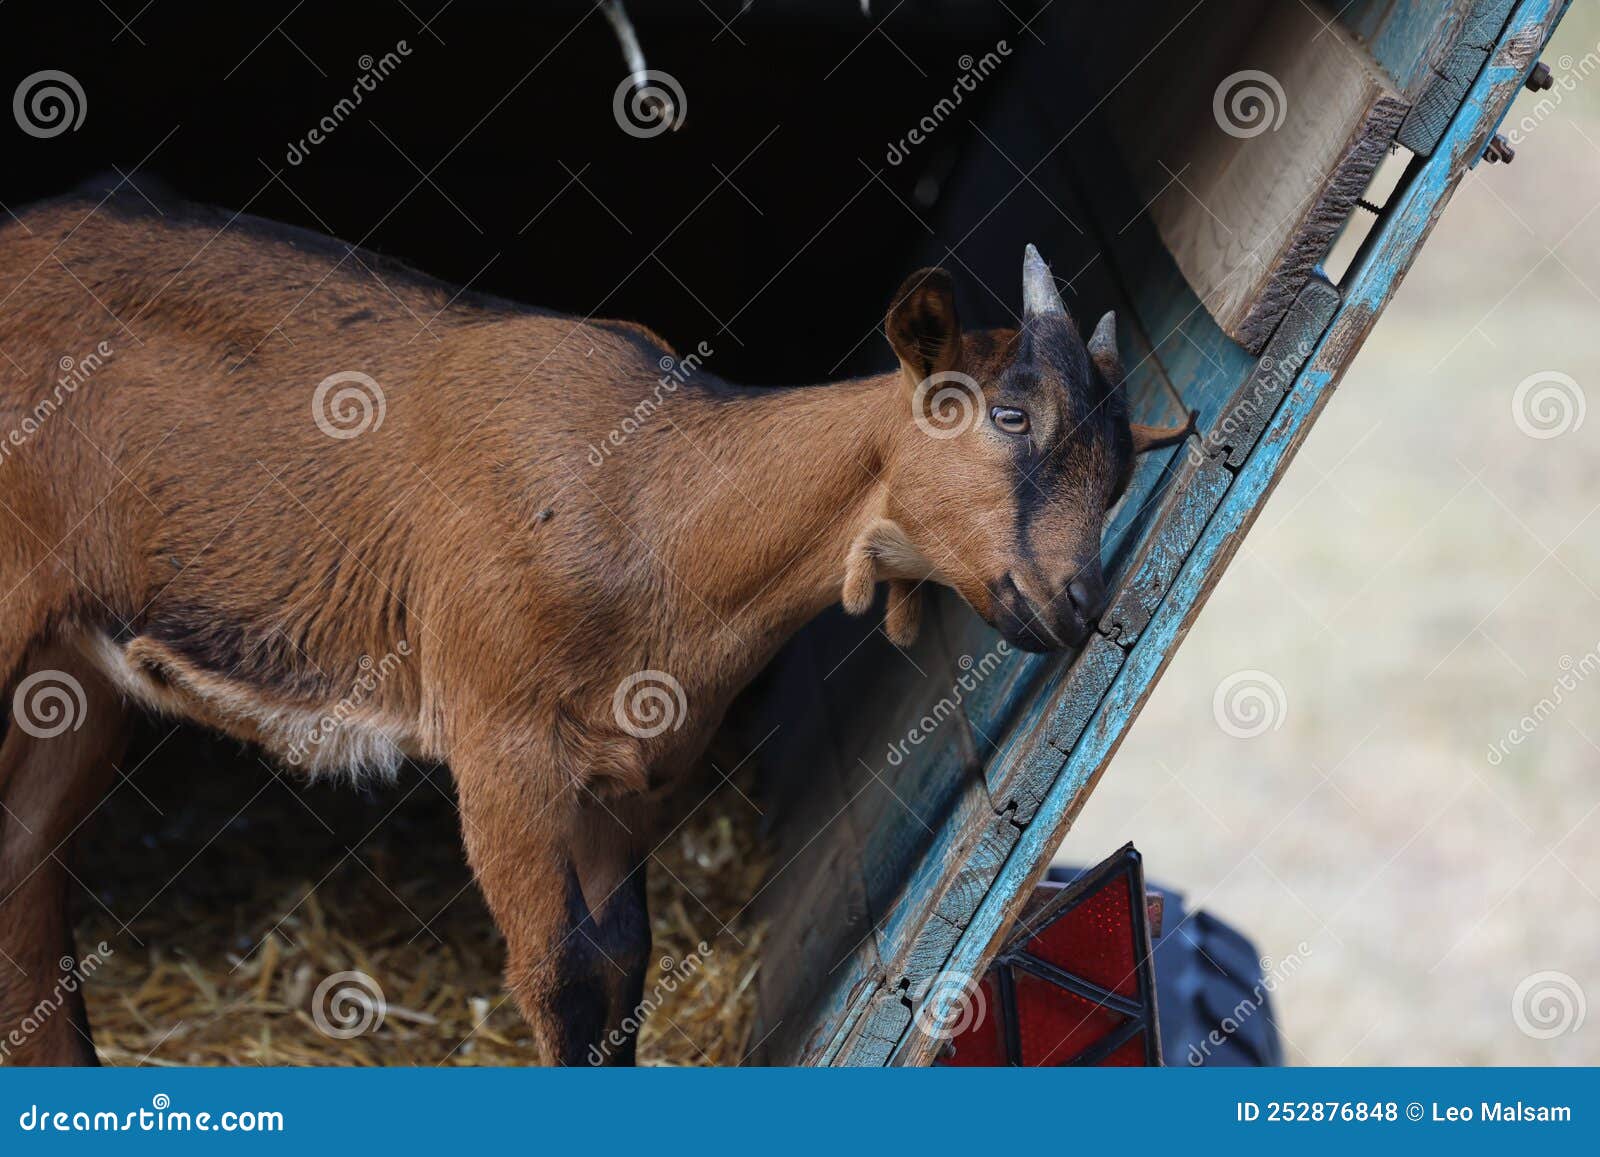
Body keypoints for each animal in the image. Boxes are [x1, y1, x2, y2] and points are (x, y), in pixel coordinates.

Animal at [0, 190, 1190, 1065]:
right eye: (1008, 413)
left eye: (1120, 466)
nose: (1073, 602)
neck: (653, 501)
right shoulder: (501, 743)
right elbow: (562, 976)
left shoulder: (635, 775)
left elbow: (623, 965)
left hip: (75, 672)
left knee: (25, 859)